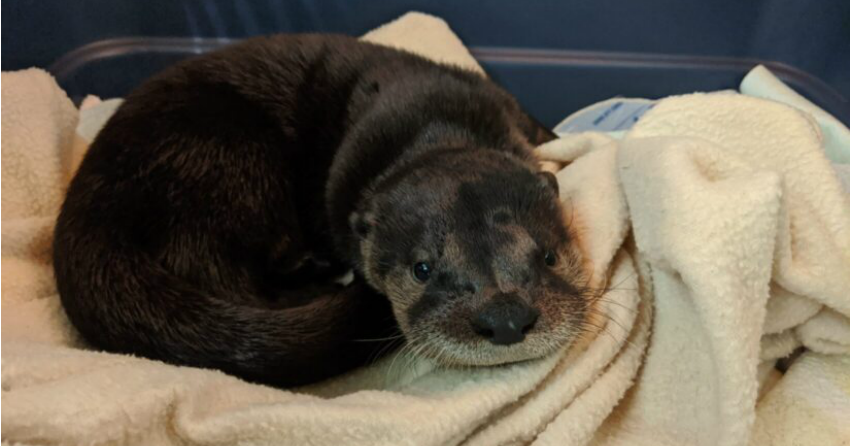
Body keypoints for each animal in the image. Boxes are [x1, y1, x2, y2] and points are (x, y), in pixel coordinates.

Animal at [53, 34, 590, 388]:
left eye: (548, 256)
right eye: (422, 269)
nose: (505, 316)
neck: (432, 122)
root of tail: (90, 201)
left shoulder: (497, 101)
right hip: (221, 156)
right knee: (225, 273)